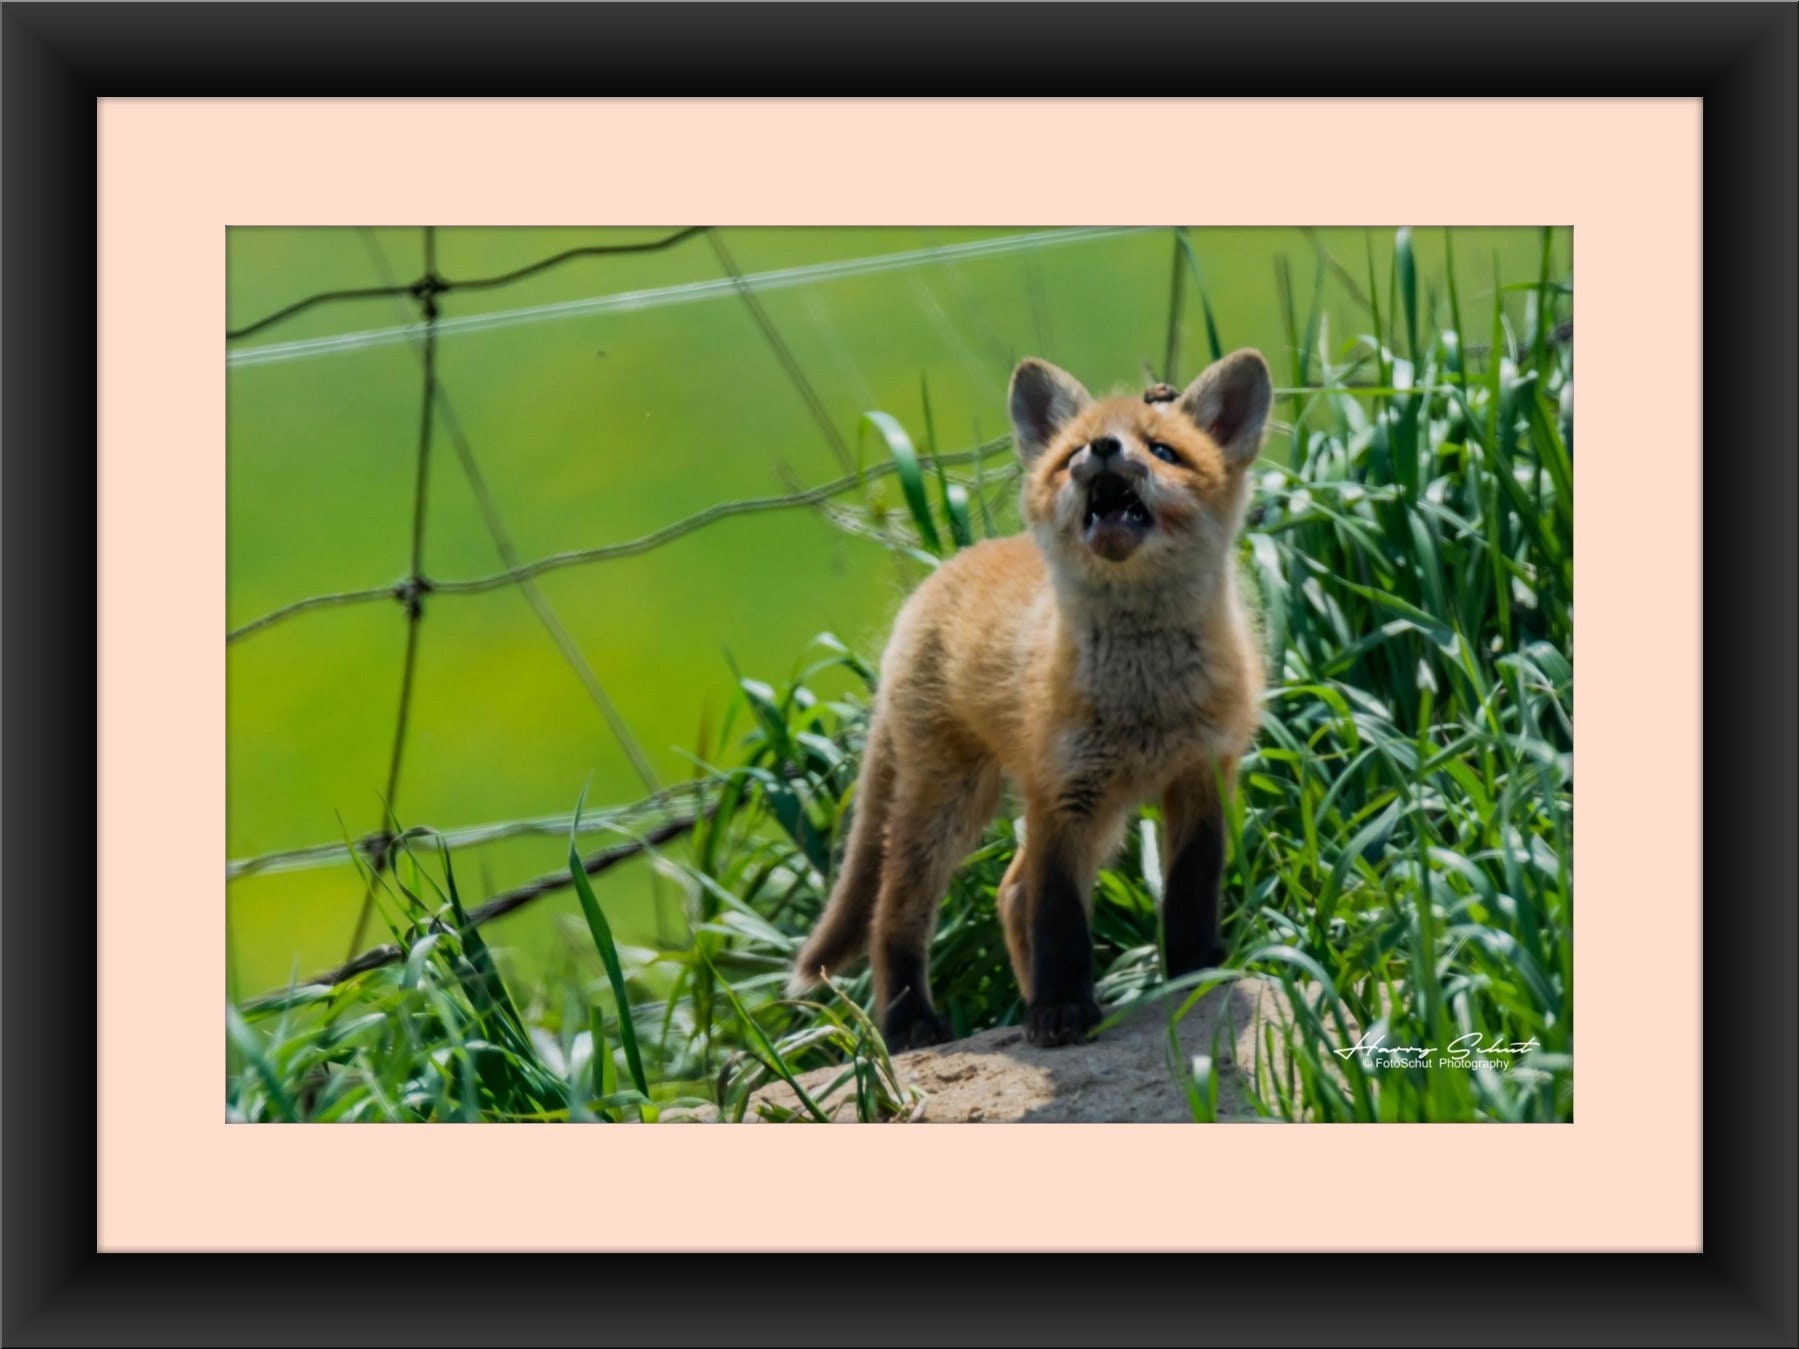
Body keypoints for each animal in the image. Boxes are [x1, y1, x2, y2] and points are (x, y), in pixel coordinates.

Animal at [788, 349, 1271, 1049]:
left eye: (1163, 450)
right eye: (1070, 455)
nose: (1101, 449)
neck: (1144, 700)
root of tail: (943, 573)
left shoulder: (1202, 777)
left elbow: (1188, 894)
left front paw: (1196, 974)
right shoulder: (1060, 793)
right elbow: (1059, 918)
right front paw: (1061, 1009)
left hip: (1095, 818)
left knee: (1010, 891)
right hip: (951, 801)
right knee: (897, 909)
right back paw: (909, 1021)